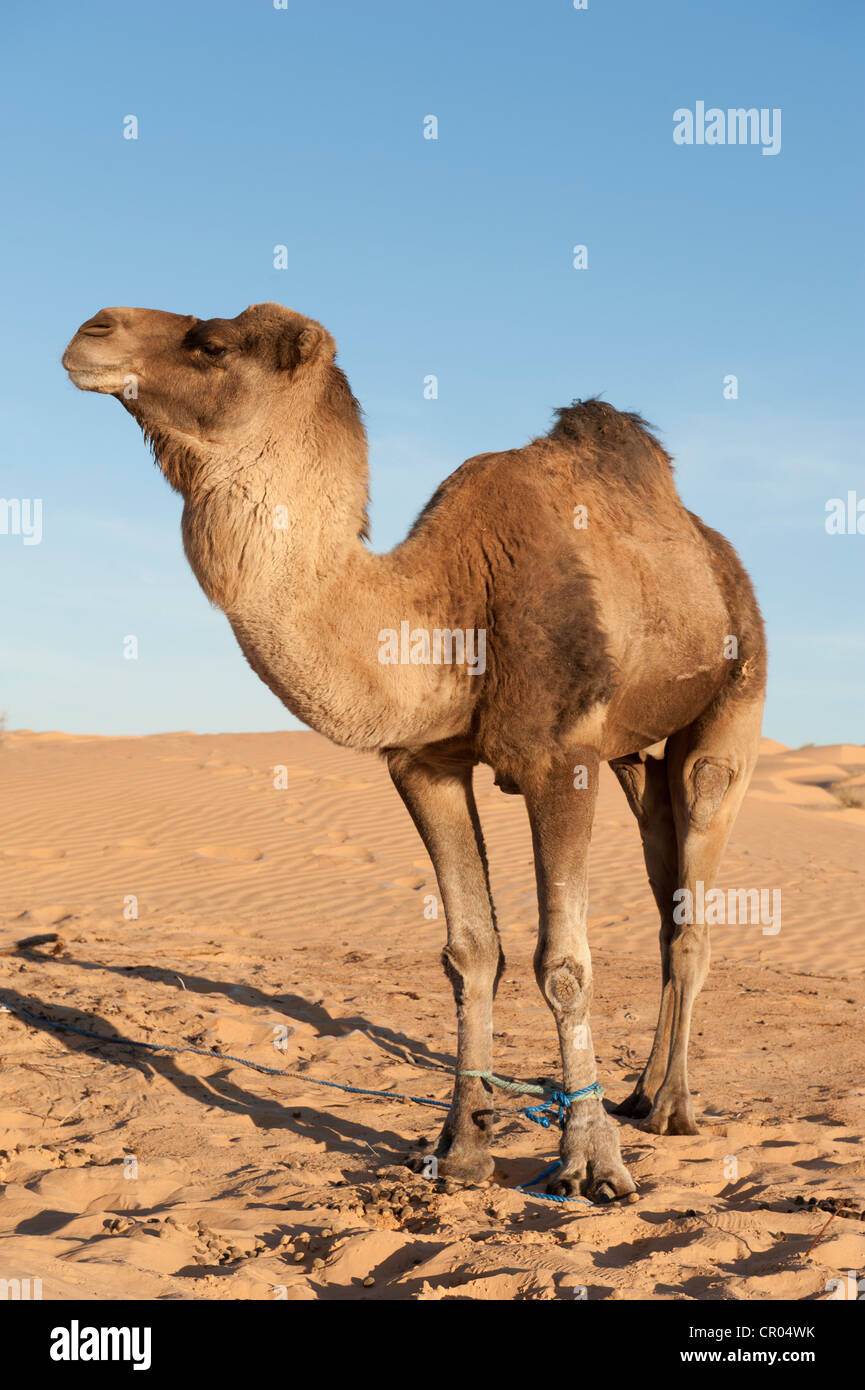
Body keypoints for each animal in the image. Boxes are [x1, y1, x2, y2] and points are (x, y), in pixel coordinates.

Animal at [62, 302, 766, 1201]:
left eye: (212, 344)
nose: (92, 328)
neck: (451, 612)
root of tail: (720, 559)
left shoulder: (560, 759)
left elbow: (563, 965)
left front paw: (591, 1162)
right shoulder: (424, 765)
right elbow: (468, 953)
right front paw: (460, 1149)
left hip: (733, 698)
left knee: (693, 893)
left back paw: (672, 1107)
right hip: (633, 757)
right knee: (660, 877)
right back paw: (640, 1094)